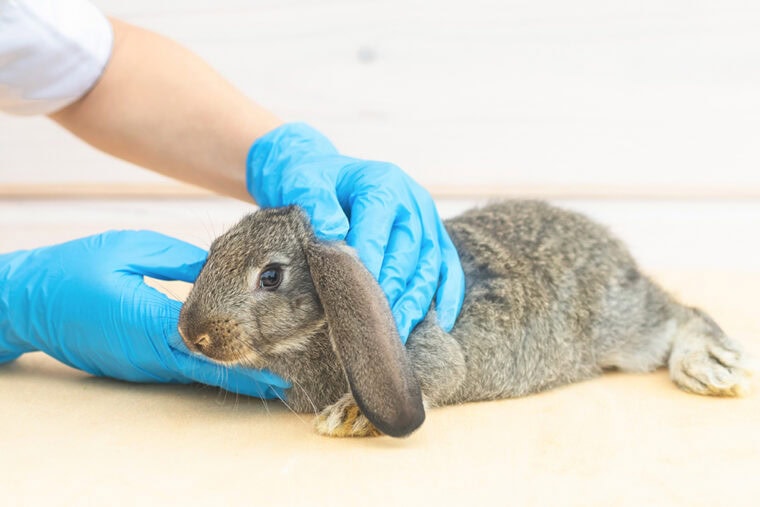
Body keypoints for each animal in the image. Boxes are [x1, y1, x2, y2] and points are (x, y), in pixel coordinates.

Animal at [178, 201, 754, 438]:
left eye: (271, 277)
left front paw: (350, 415)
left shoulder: (425, 347)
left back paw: (711, 366)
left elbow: (441, 373)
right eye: (213, 250)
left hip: (624, 327)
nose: (189, 332)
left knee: (682, 315)